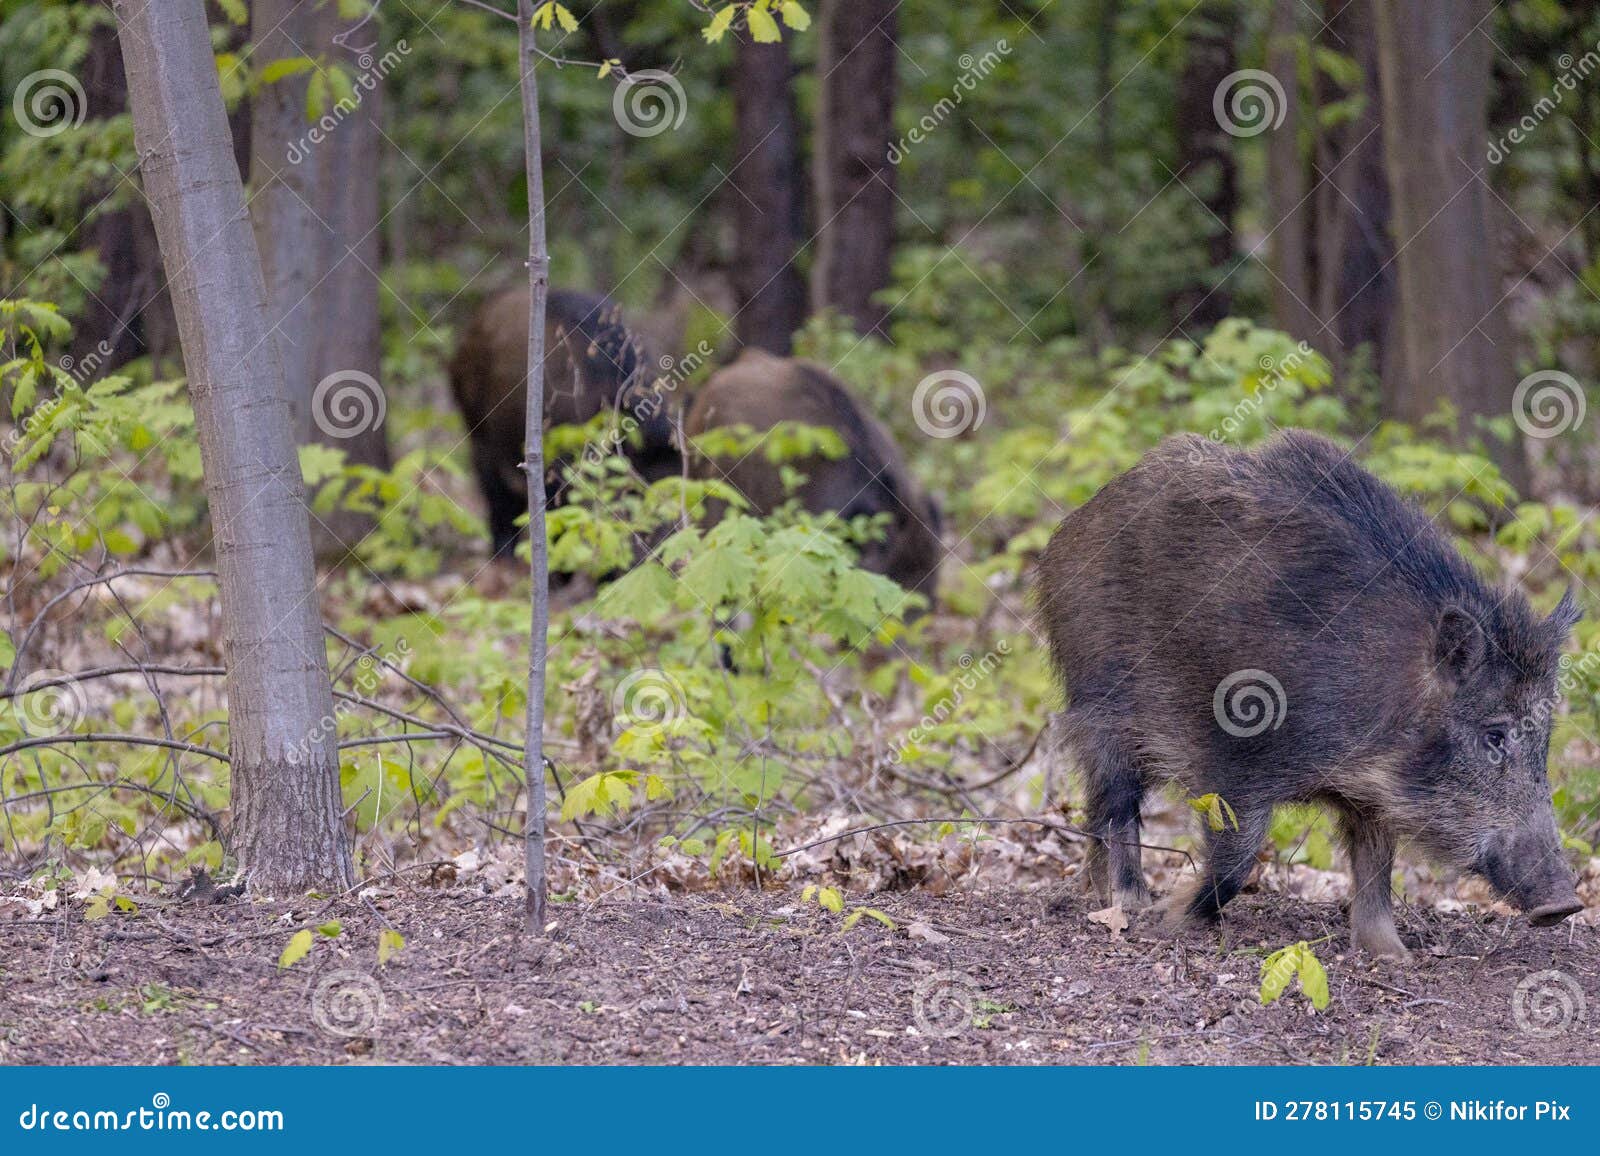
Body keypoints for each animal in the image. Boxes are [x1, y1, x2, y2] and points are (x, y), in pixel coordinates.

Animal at [1037, 429, 1584, 960]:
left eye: (1545, 738)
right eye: (1494, 734)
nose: (1565, 904)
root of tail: (1071, 528)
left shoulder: (1371, 793)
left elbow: (1375, 865)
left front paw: (1393, 956)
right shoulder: (1233, 759)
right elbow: (1235, 859)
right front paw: (1169, 922)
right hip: (1101, 703)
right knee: (1116, 803)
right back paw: (1129, 904)